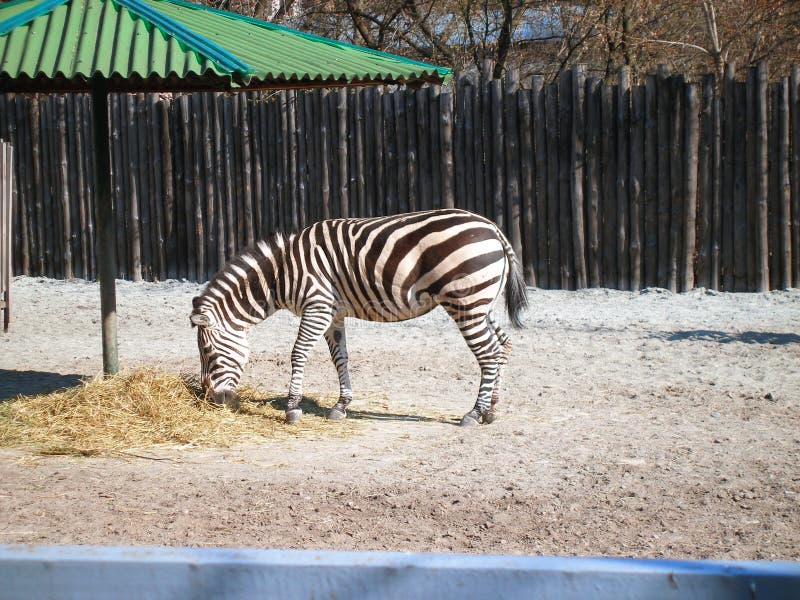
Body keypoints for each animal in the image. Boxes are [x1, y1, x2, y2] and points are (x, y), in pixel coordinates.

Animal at [190, 208, 529, 427]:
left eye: (207, 352)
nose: (211, 401)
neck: (281, 273)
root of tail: (493, 228)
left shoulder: (317, 305)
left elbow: (298, 354)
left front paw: (292, 408)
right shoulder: (333, 313)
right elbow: (340, 357)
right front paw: (341, 406)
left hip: (465, 303)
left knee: (488, 353)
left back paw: (474, 413)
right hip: (481, 304)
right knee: (503, 345)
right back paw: (491, 410)